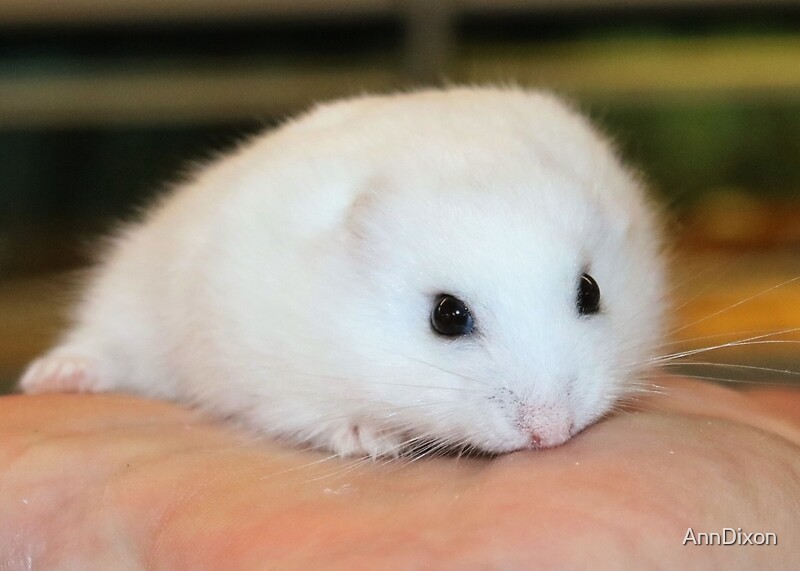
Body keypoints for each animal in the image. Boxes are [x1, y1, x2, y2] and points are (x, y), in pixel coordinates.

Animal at [19, 87, 666, 457]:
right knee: (100, 345)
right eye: (447, 316)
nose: (552, 433)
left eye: (591, 291)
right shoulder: (263, 369)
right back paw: (50, 378)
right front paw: (374, 440)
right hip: (131, 300)